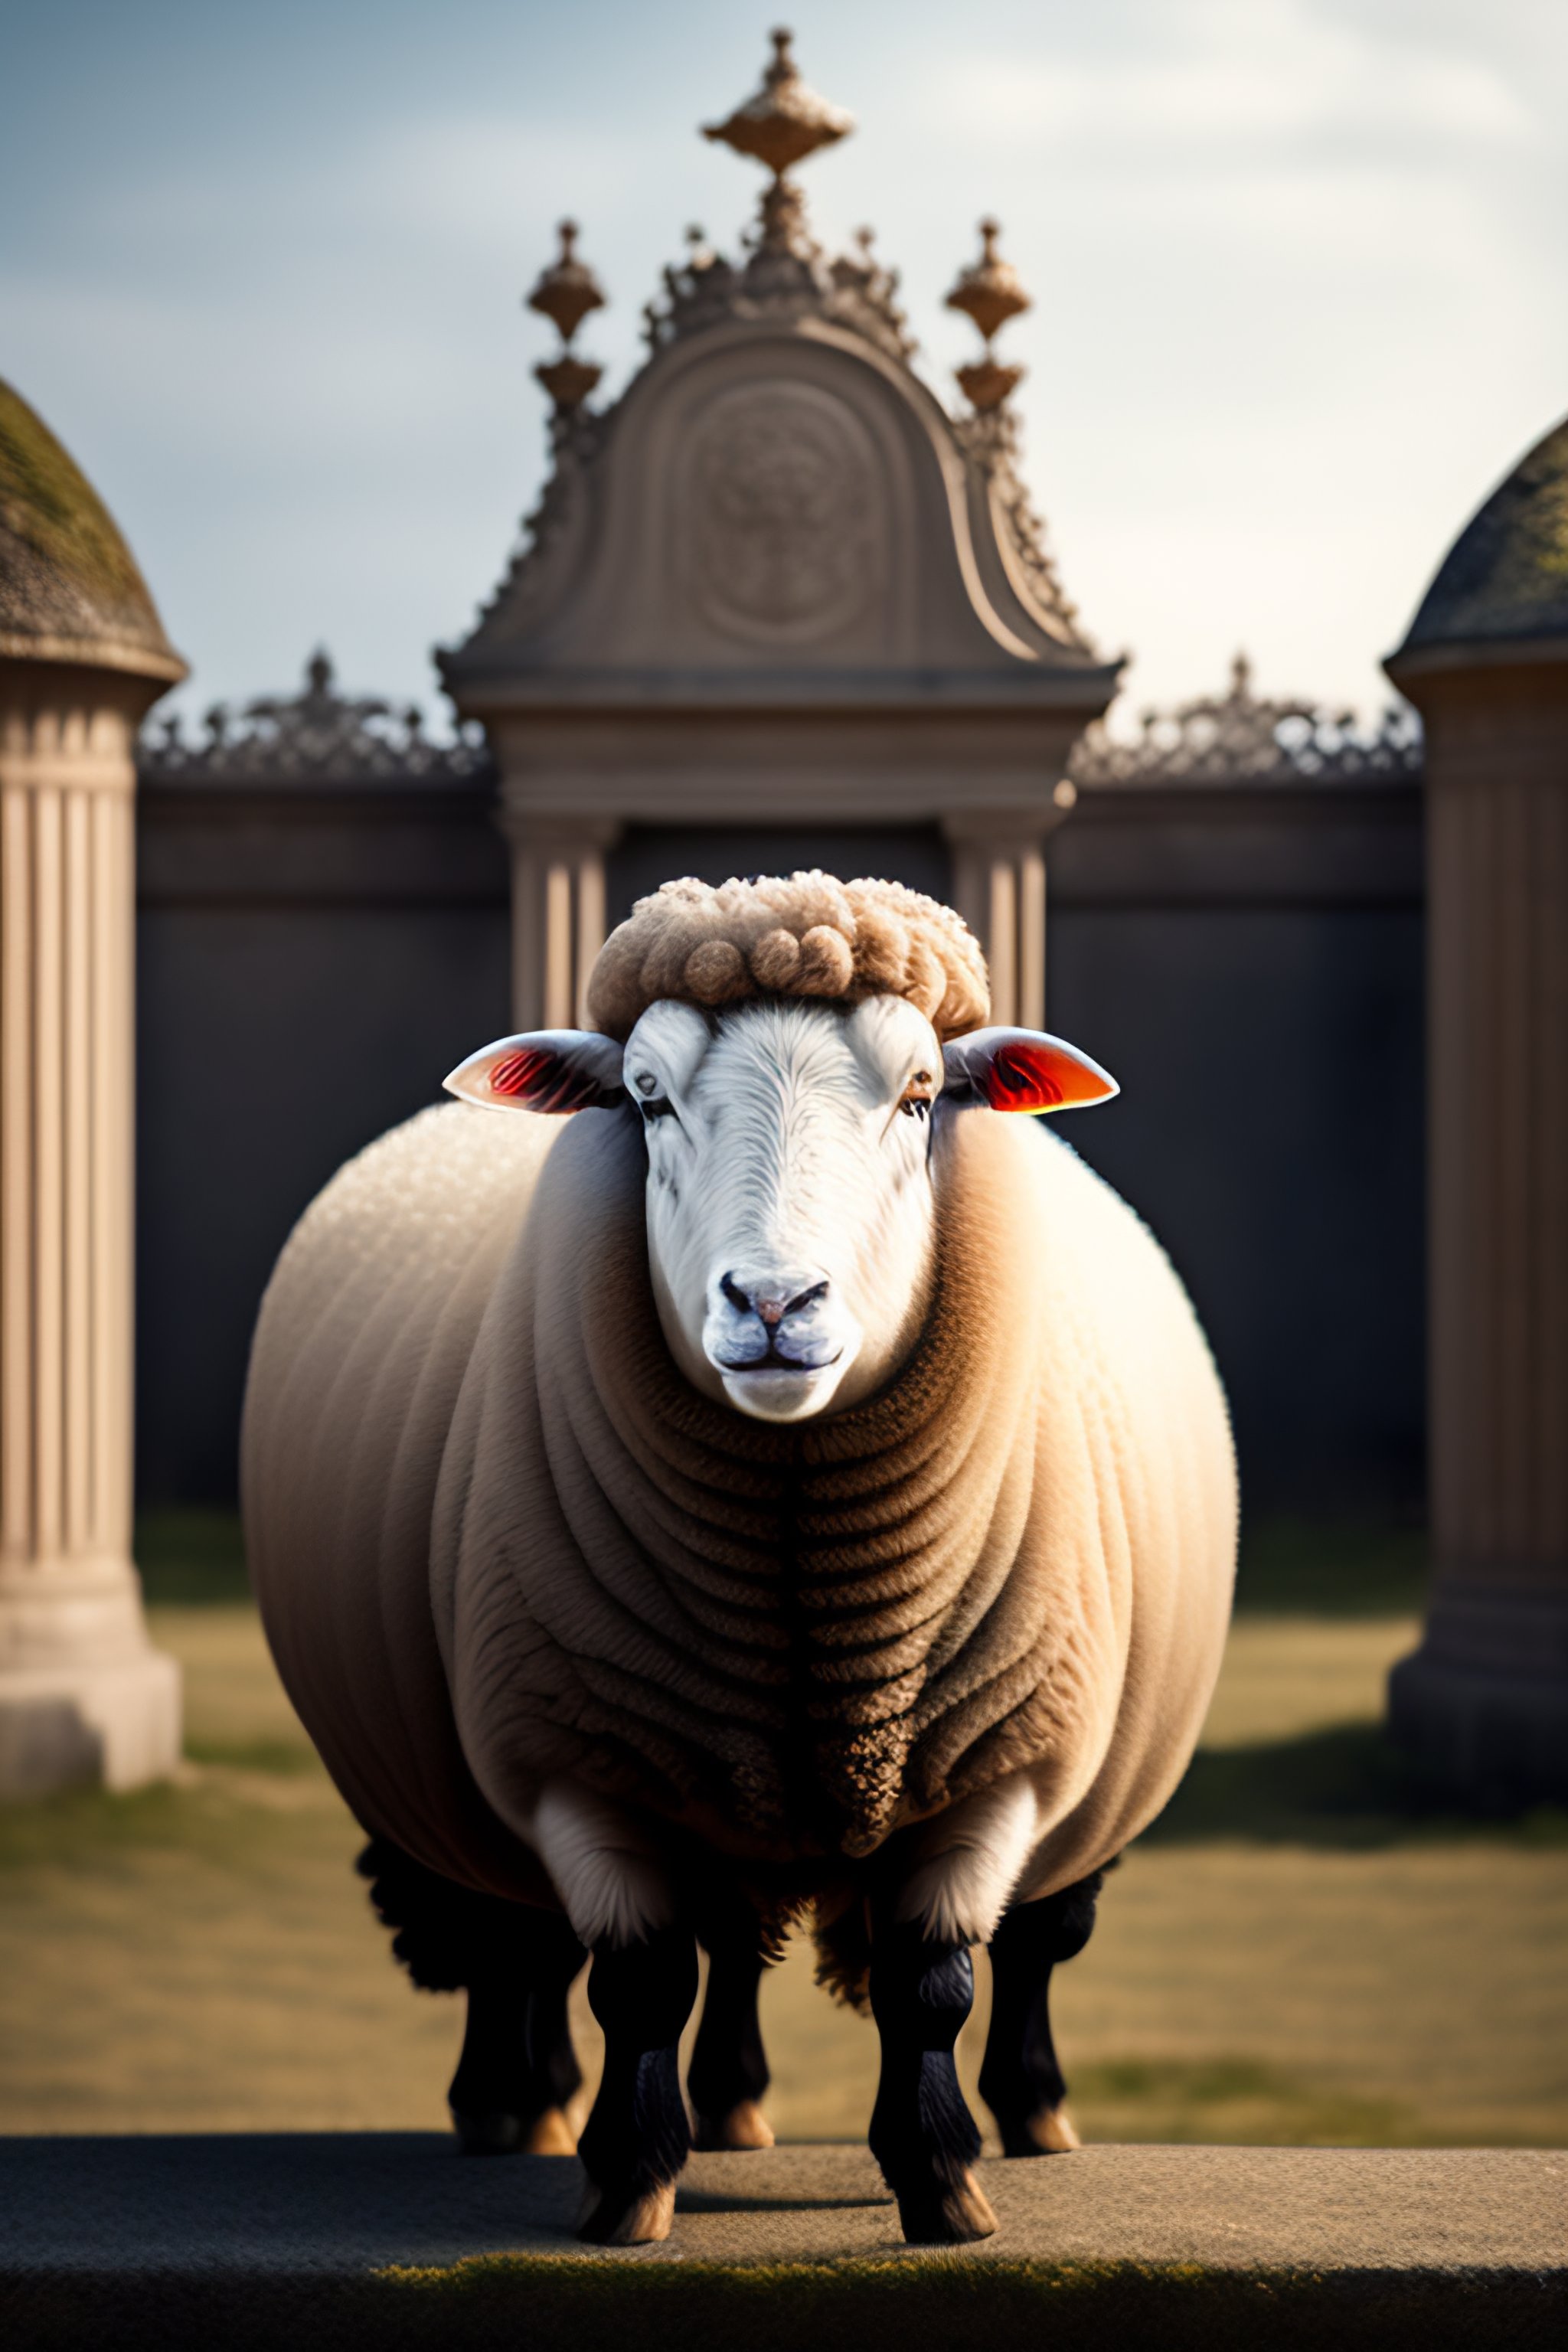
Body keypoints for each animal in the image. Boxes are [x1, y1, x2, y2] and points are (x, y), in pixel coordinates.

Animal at [242, 872, 1237, 2247]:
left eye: (920, 1094)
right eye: (646, 1097)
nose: (774, 1304)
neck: (804, 1601)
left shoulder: (1002, 1766)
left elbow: (932, 1980)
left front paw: (943, 2184)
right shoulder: (573, 1758)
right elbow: (640, 1978)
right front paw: (626, 2184)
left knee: (1035, 1940)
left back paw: (1023, 2112)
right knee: (542, 1936)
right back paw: (539, 2106)